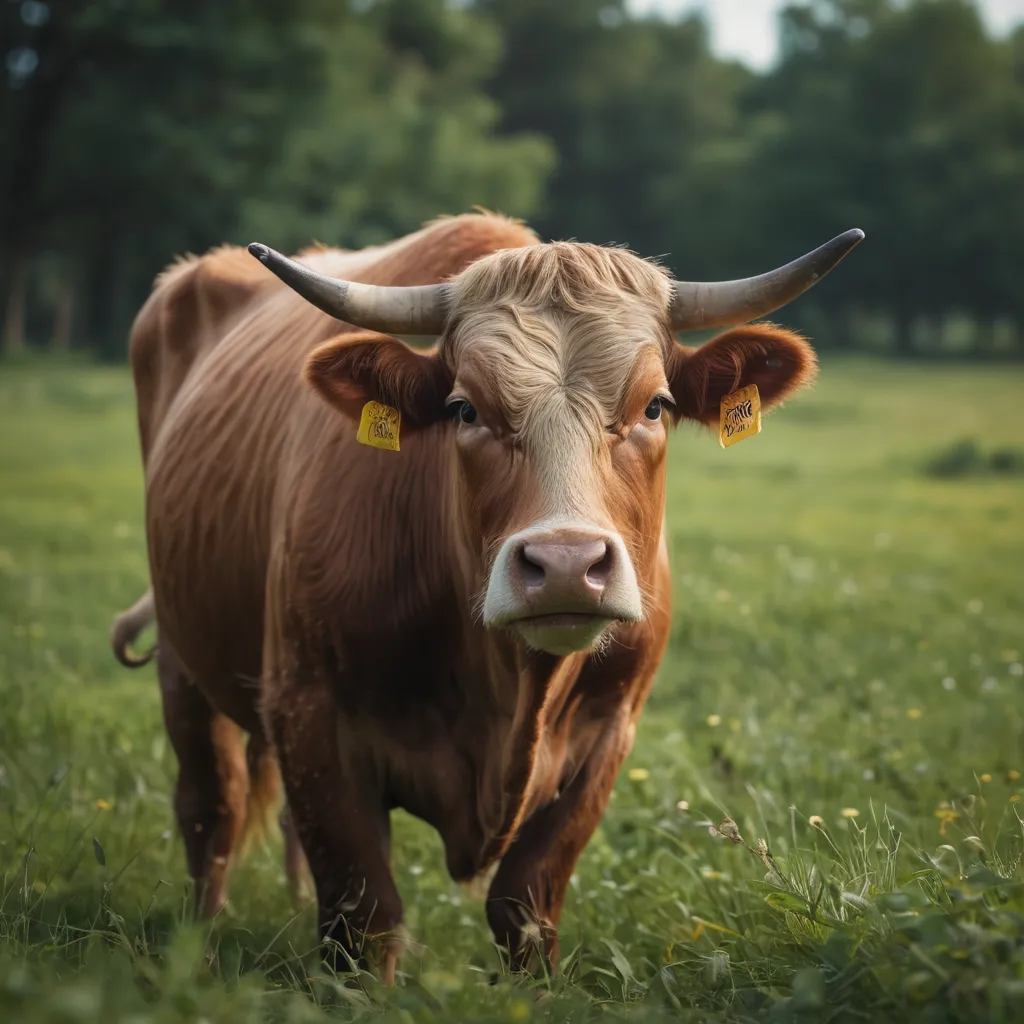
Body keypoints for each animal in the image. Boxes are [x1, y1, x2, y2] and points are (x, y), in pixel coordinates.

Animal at [124, 211, 862, 983]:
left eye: (654, 406)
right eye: (464, 409)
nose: (566, 564)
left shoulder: (609, 732)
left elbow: (526, 904)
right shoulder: (309, 709)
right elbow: (365, 917)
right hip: (181, 654)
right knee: (212, 807)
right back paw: (196, 944)